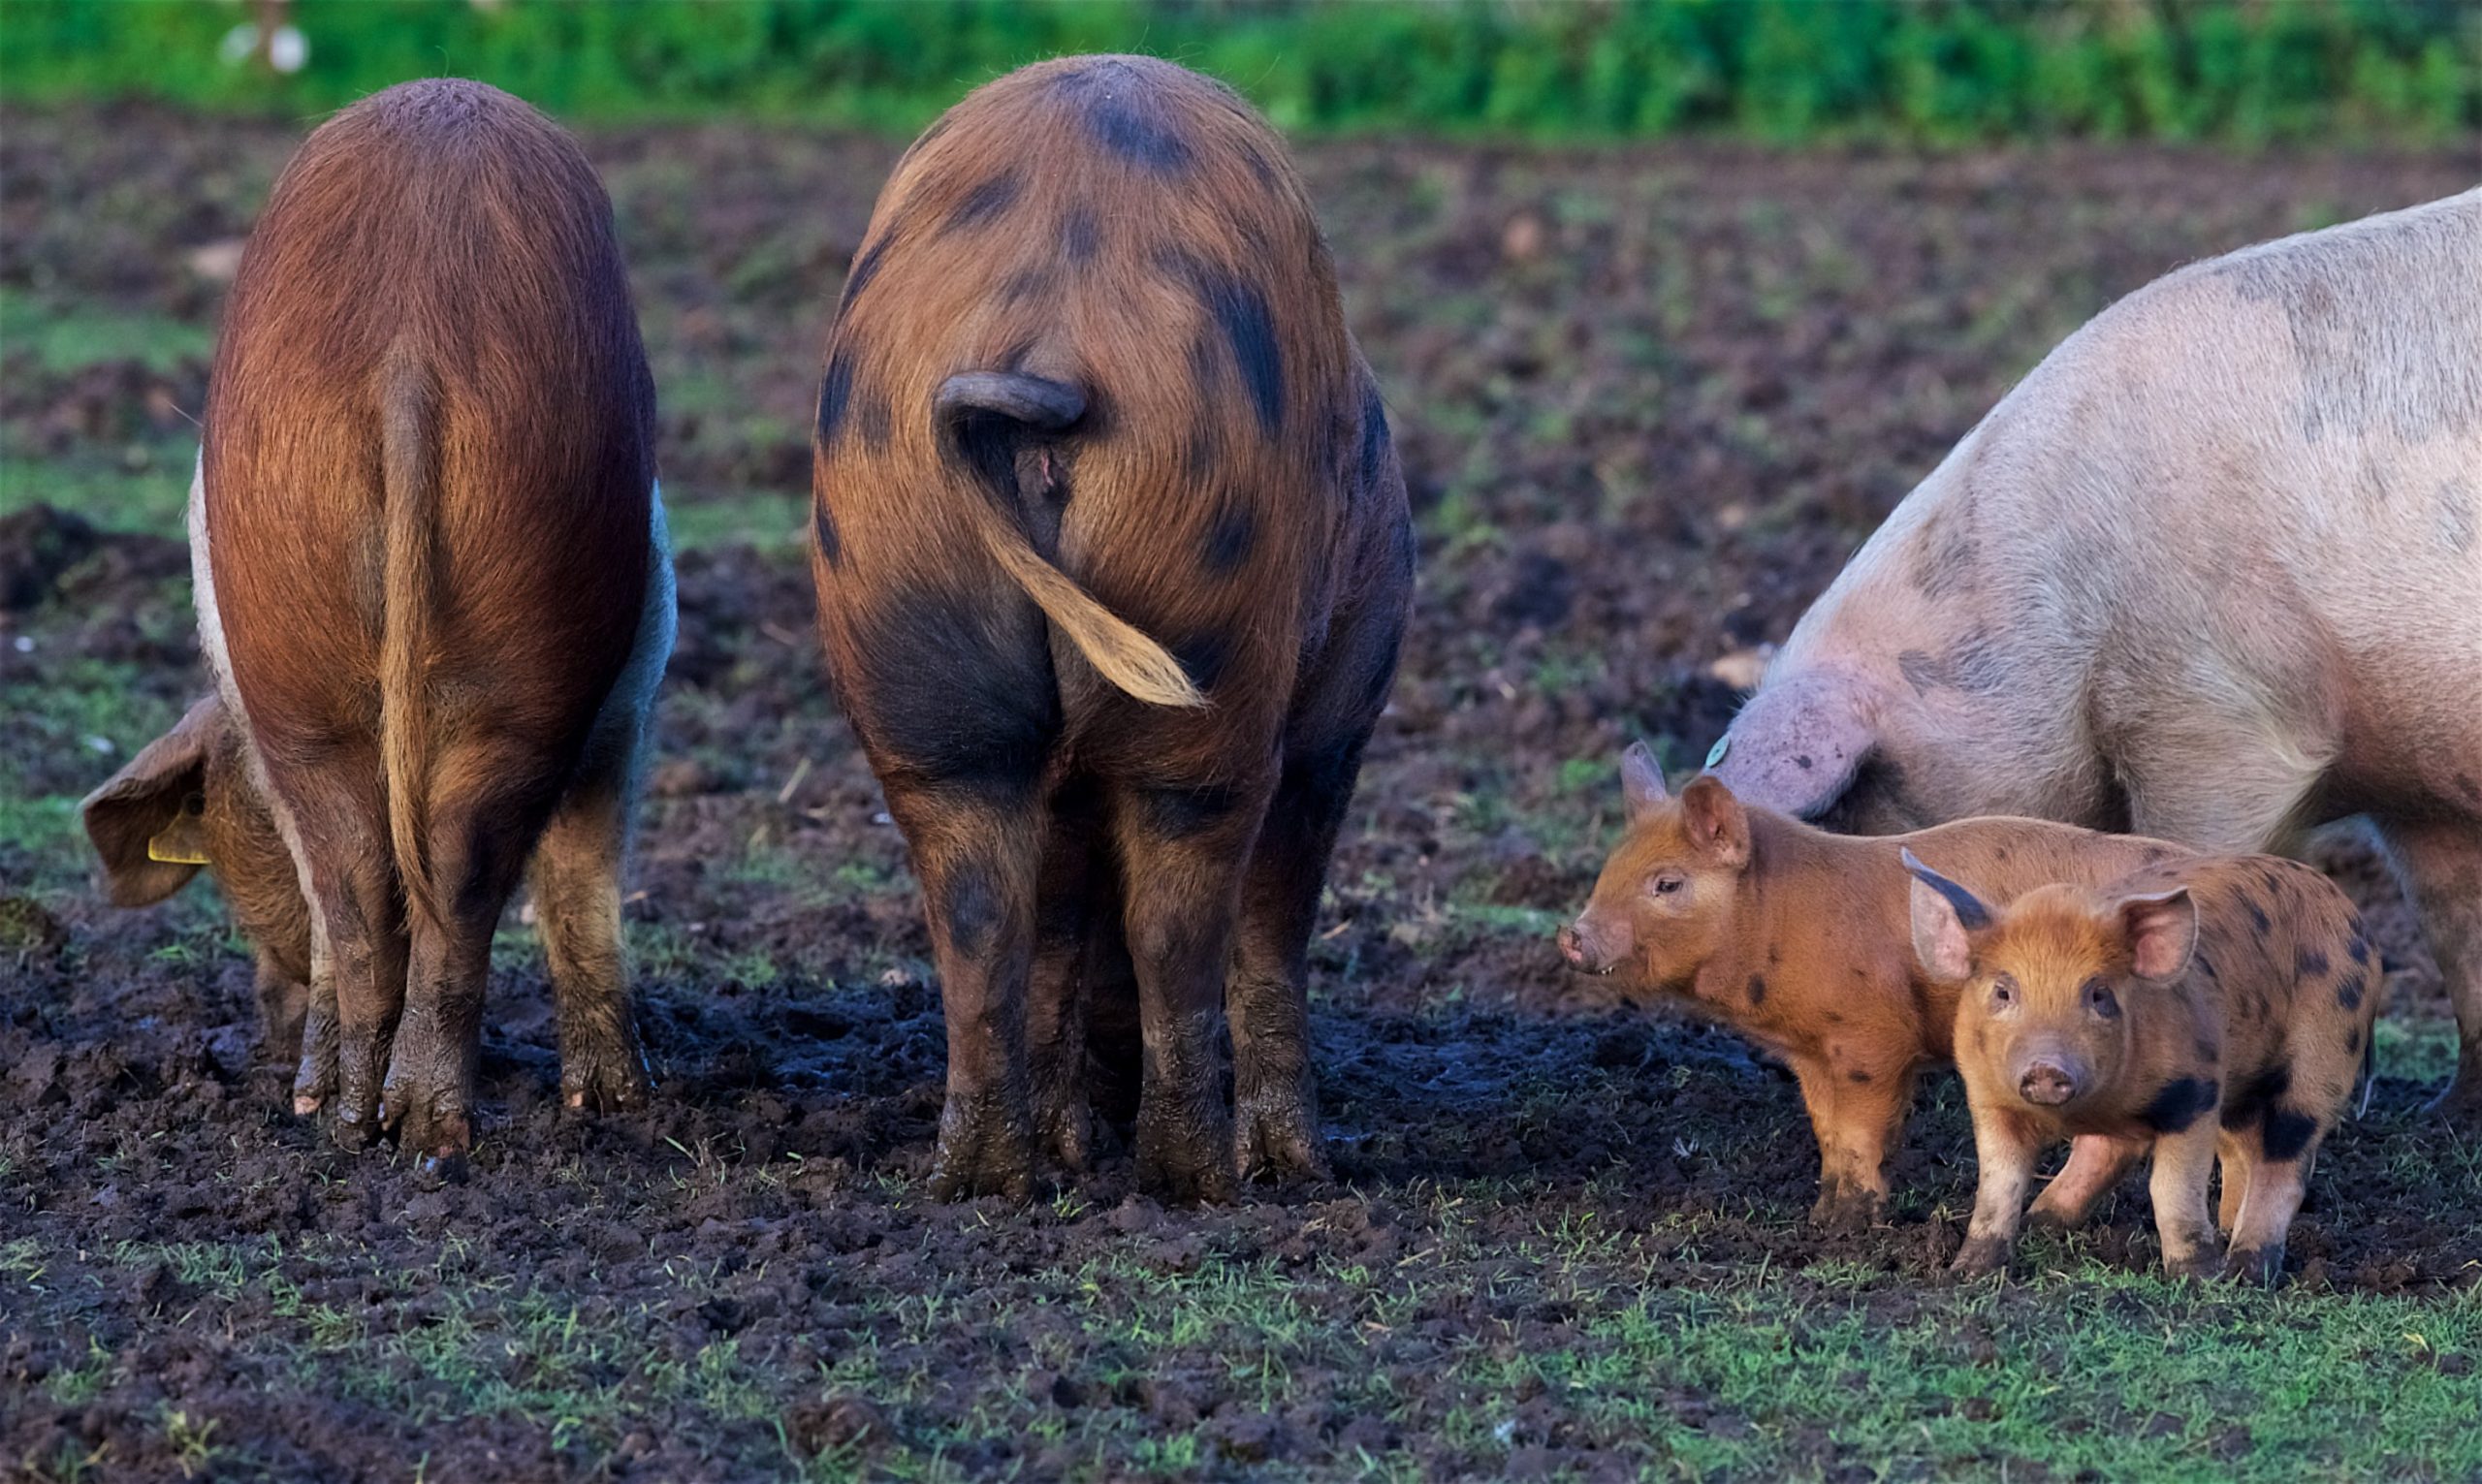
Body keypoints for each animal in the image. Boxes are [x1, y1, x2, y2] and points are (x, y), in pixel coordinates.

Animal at [80, 79, 674, 1170]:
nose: (260, 1024)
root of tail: (410, 348)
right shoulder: (634, 691)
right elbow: (578, 870)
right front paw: (613, 1105)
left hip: (297, 637)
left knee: (377, 872)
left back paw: (362, 1118)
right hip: (479, 631)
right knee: (435, 873)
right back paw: (405, 1124)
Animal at [809, 56, 1413, 1202]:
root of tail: (1054, 336)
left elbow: (1055, 925)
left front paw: (1070, 1144)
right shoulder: (1338, 722)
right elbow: (1272, 925)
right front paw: (1297, 1169)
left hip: (913, 643)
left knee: (976, 912)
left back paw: (988, 1179)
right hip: (1212, 648)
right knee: (1181, 912)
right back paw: (1206, 1182)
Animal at [1559, 750, 2184, 1226]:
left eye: (1667, 883)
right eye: (1610, 869)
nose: (1571, 936)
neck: (1775, 920)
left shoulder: (1873, 1039)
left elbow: (1862, 1130)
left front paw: (1851, 1226)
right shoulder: (1811, 1054)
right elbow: (1828, 1131)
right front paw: (1819, 1218)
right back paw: (2042, 1221)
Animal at [1705, 189, 2482, 1126]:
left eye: (1852, 809)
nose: (1776, 1051)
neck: (2042, 606)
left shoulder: (2215, 714)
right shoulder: (2421, 785)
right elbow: (2457, 925)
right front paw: (2445, 1112)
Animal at [1904, 849, 2383, 1283]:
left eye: (2098, 994)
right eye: (2004, 991)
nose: (2046, 1069)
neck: (2090, 1108)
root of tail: (2355, 922)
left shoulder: (2196, 1091)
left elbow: (2172, 1189)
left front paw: (2197, 1279)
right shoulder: (1988, 1098)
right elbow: (1998, 1183)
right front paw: (1966, 1273)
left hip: (2324, 1056)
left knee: (2284, 1161)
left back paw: (2244, 1270)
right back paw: (2048, 1222)